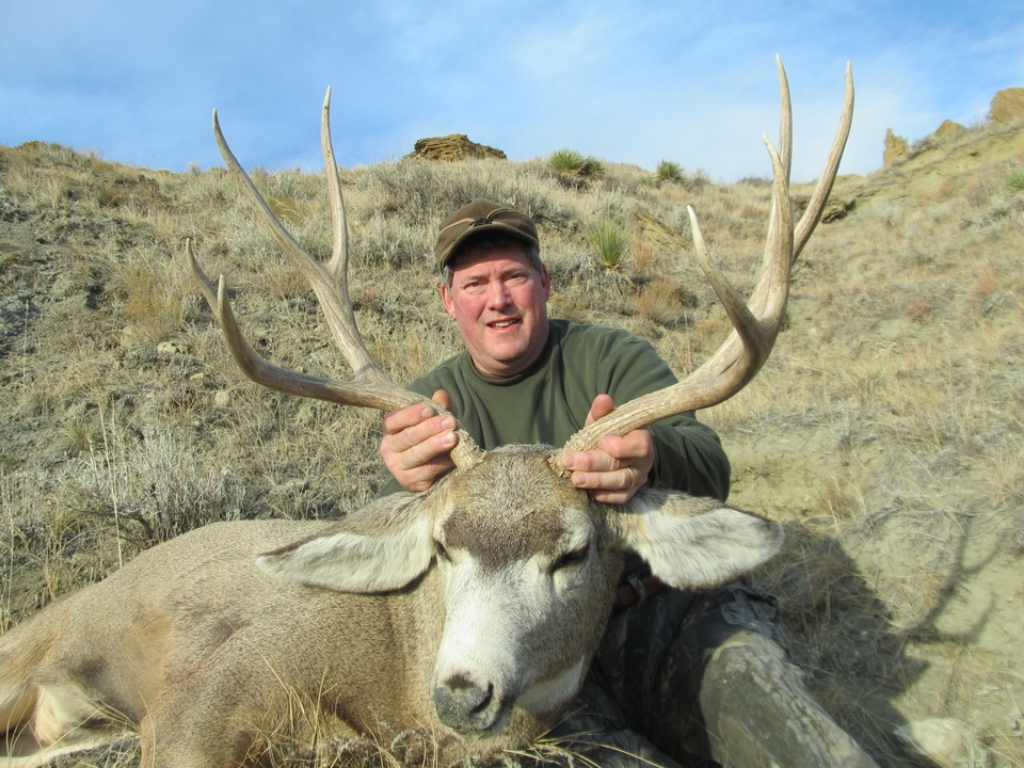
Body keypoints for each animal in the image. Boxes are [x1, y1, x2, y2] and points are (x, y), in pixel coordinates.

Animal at [0, 57, 853, 768]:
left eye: (574, 553)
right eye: (442, 547)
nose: (463, 692)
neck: (397, 675)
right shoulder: (211, 689)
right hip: (33, 646)